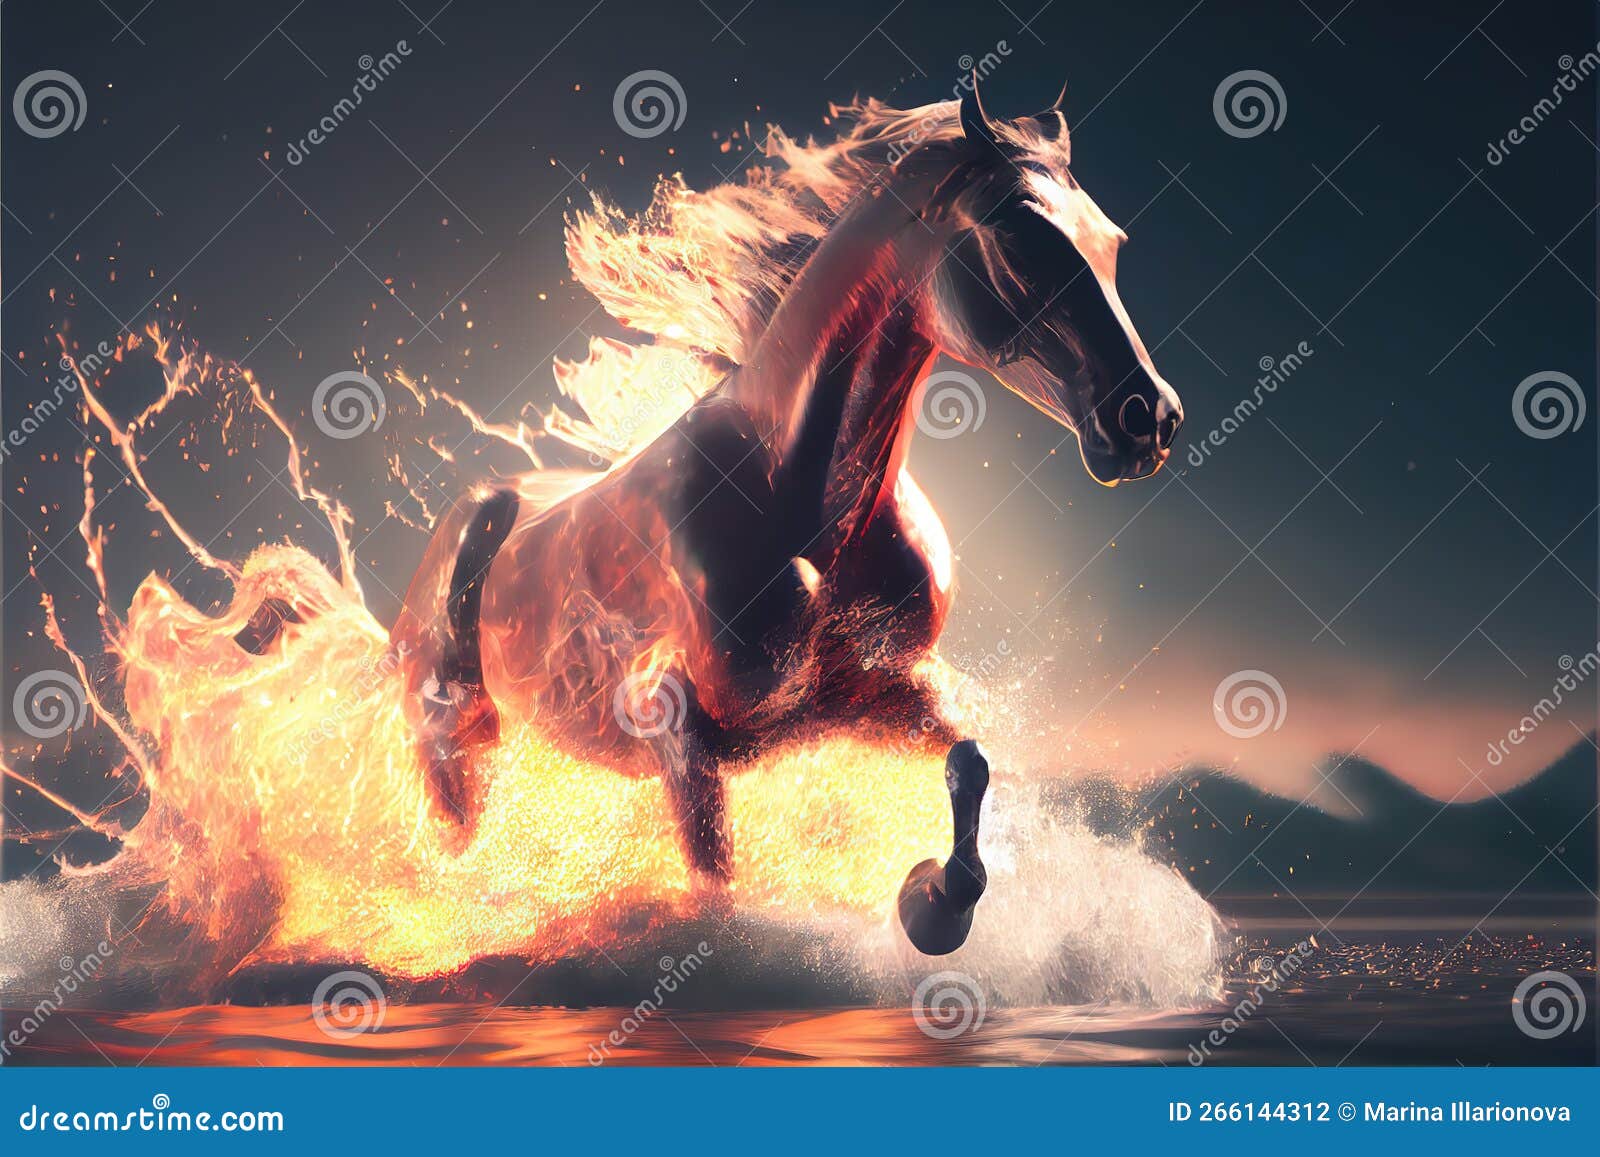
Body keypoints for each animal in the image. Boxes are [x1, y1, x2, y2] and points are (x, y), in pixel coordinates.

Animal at [392, 78, 1182, 955]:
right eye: (1018, 235)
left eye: (1112, 242)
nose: (1149, 420)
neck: (801, 507)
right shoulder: (673, 730)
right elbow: (716, 888)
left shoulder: (876, 699)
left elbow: (970, 763)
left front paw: (927, 901)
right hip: (453, 741)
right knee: (459, 834)